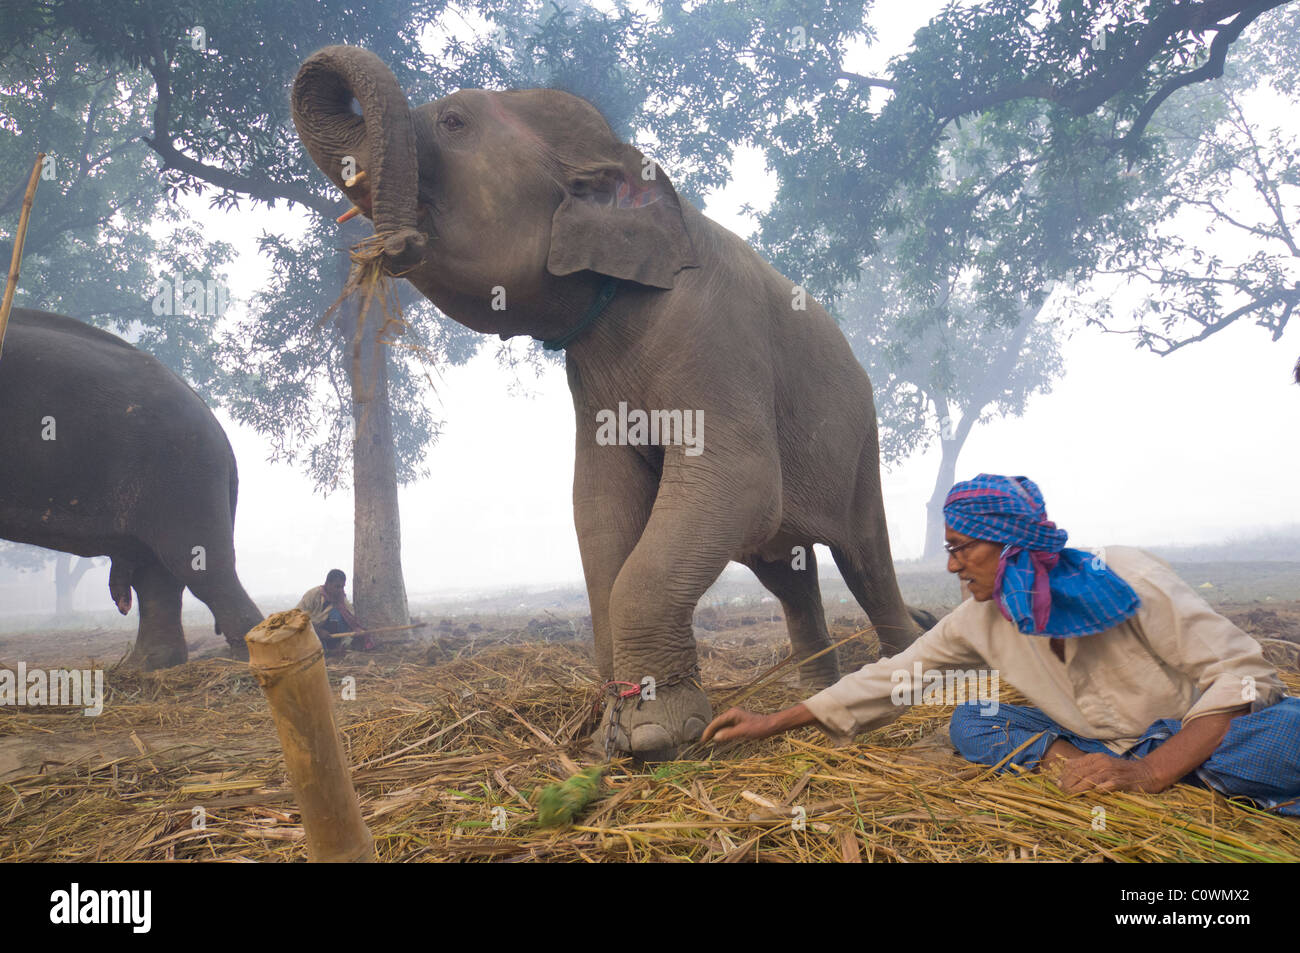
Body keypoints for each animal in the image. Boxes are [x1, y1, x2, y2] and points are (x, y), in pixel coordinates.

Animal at [0, 308, 264, 669]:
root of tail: (220, 433)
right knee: (155, 576)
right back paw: (143, 666)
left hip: (183, 476)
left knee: (203, 569)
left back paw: (246, 662)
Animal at [291, 46, 924, 758]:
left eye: (455, 122)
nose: (389, 248)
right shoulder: (590, 375)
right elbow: (598, 505)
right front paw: (611, 737)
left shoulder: (718, 338)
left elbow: (735, 481)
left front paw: (655, 735)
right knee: (785, 571)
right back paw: (814, 690)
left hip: (862, 439)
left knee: (864, 556)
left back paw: (906, 682)